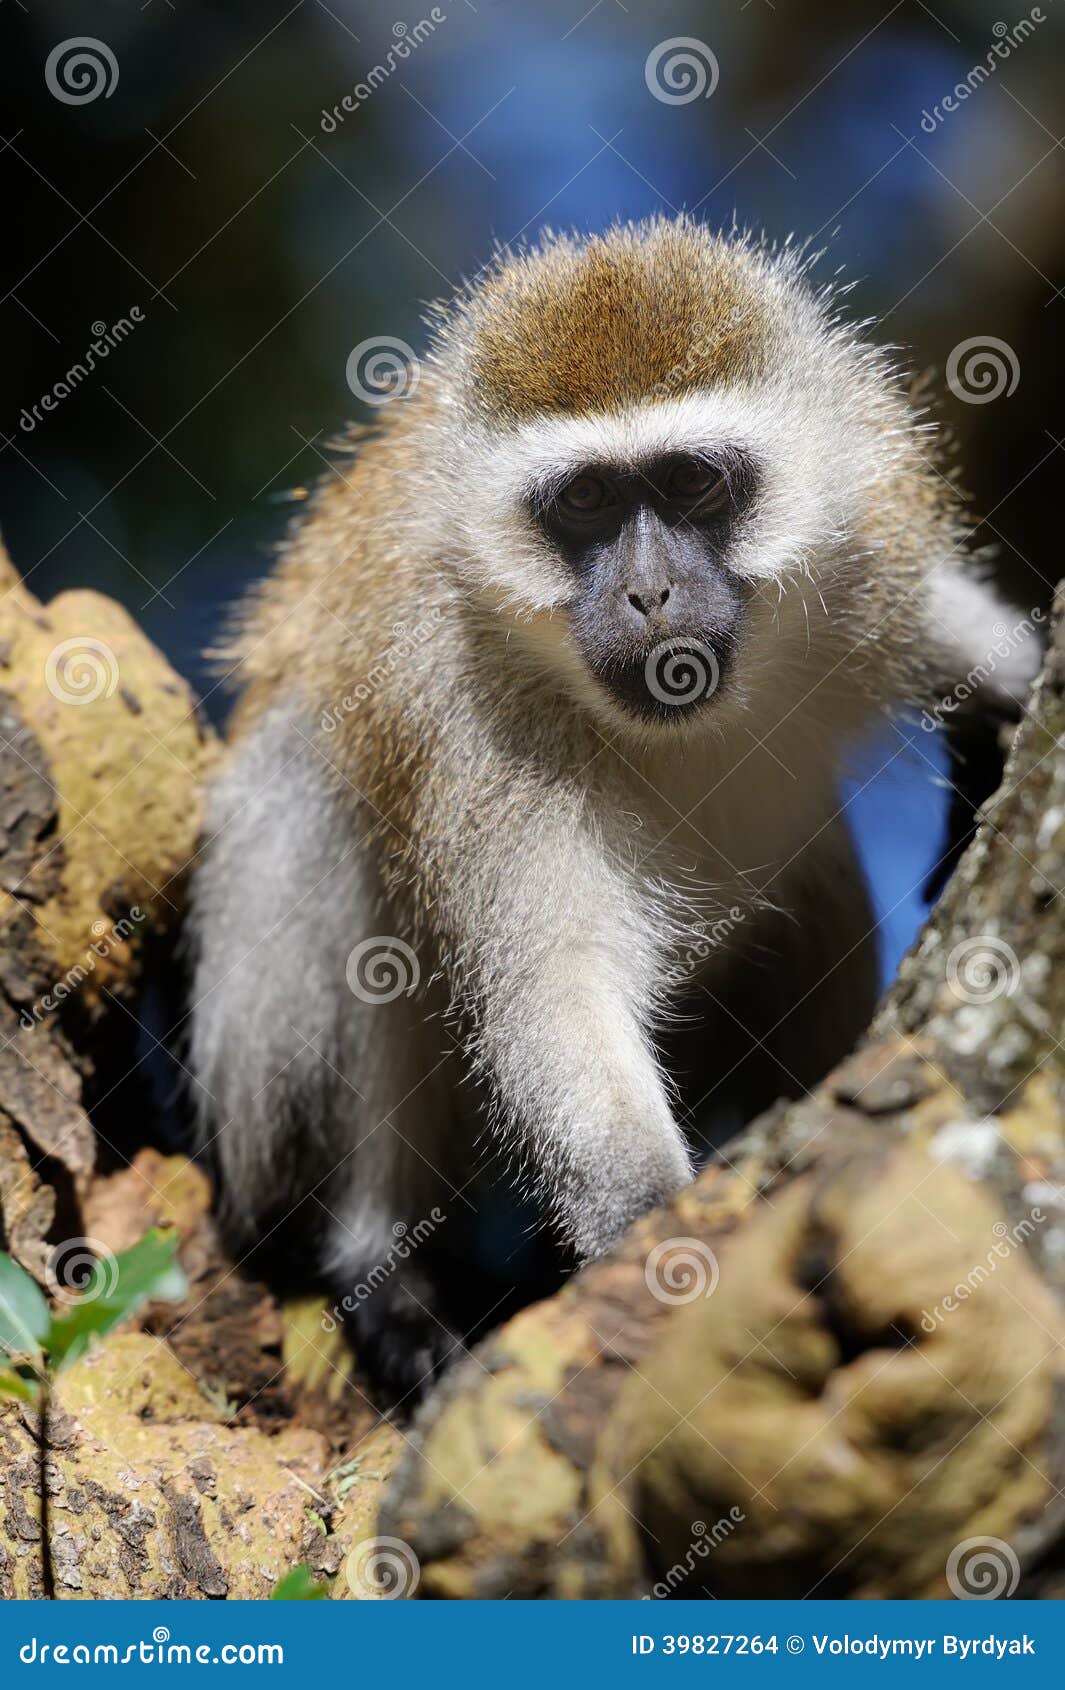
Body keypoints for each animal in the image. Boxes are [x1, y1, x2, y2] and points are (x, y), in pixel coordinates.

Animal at [187, 217, 1041, 1403]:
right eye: (585, 501)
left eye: (688, 481)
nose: (648, 595)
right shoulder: (474, 713)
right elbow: (559, 981)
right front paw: (646, 1220)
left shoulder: (863, 554)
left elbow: (942, 624)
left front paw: (1008, 689)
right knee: (312, 799)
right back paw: (377, 1256)